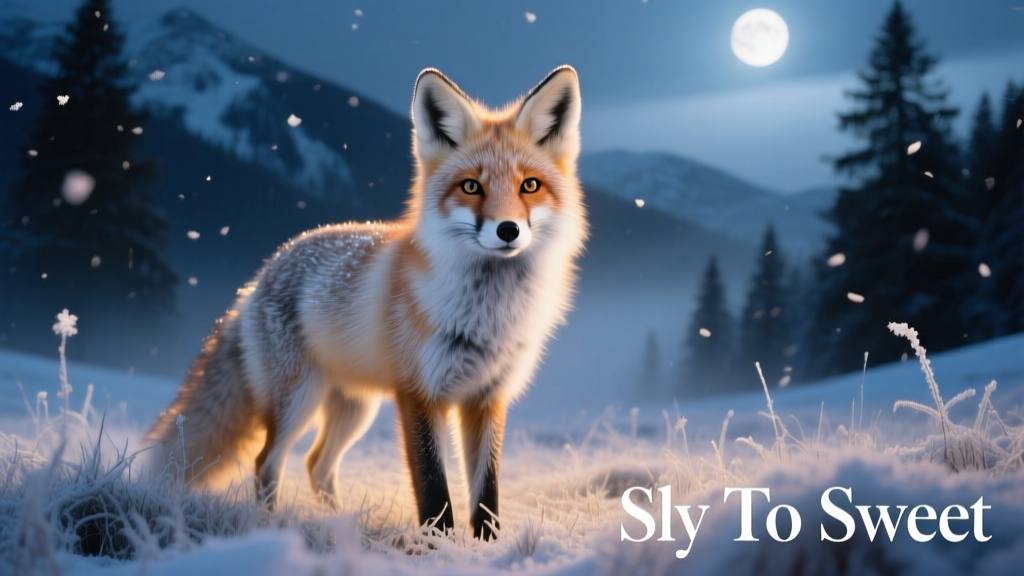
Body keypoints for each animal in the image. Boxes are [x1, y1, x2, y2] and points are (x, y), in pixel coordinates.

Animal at [145, 66, 586, 540]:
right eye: (471, 186)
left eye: (529, 185)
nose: (508, 230)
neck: (486, 315)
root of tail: (261, 274)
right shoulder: (418, 394)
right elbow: (434, 490)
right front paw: (439, 546)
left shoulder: (487, 398)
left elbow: (486, 493)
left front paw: (488, 546)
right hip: (298, 399)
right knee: (267, 462)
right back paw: (272, 524)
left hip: (354, 409)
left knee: (316, 464)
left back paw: (338, 522)